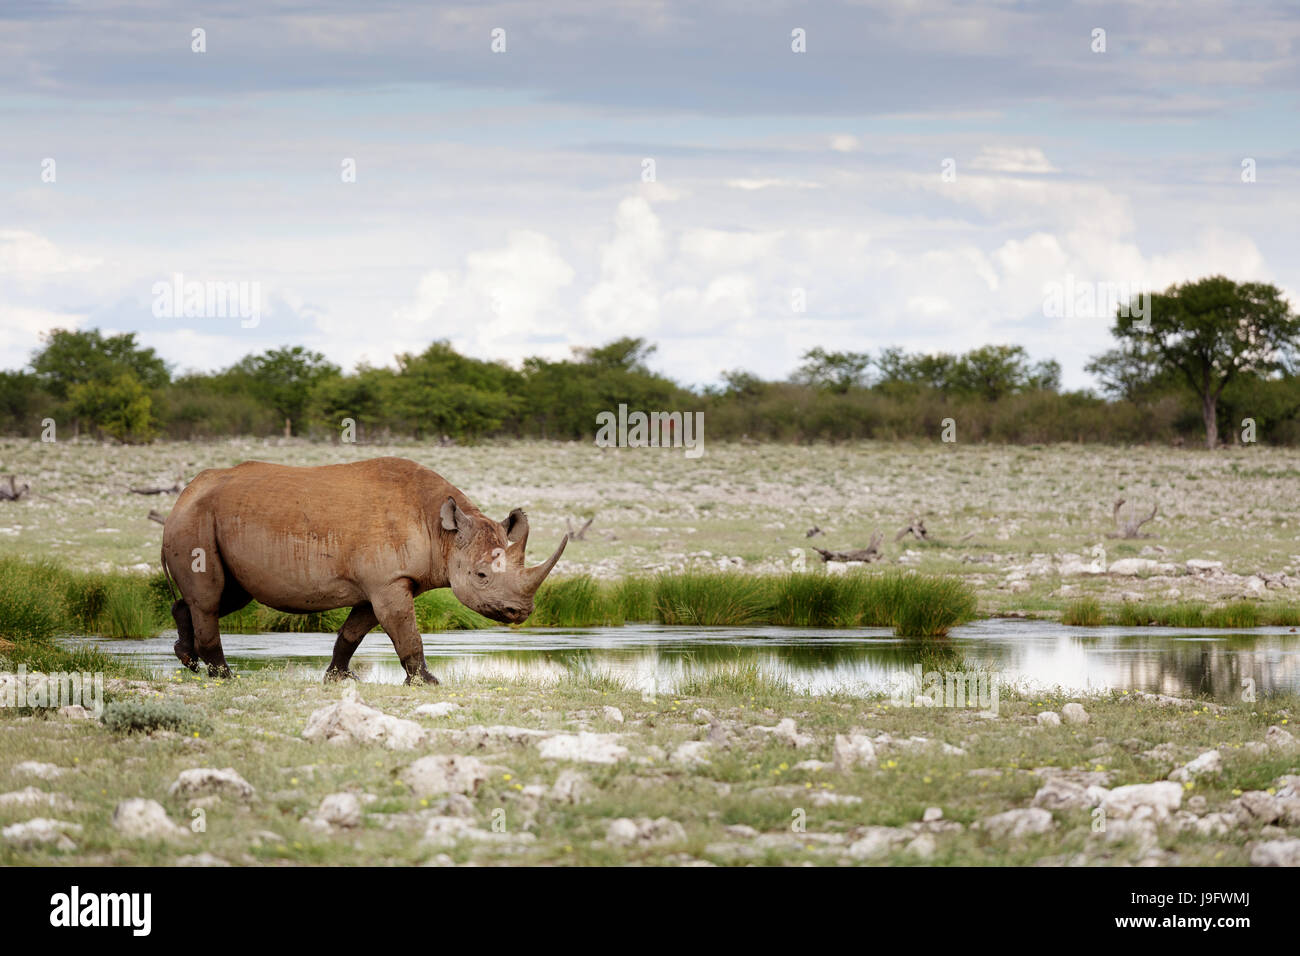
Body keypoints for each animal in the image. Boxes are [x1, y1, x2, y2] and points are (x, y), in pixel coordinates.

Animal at [161, 457, 567, 684]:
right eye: (482, 576)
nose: (520, 612)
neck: (444, 534)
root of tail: (182, 496)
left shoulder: (386, 583)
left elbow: (354, 631)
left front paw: (339, 678)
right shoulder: (388, 582)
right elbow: (406, 633)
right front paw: (428, 682)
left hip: (214, 519)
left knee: (227, 597)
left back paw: (188, 659)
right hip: (196, 520)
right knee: (210, 598)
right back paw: (224, 676)